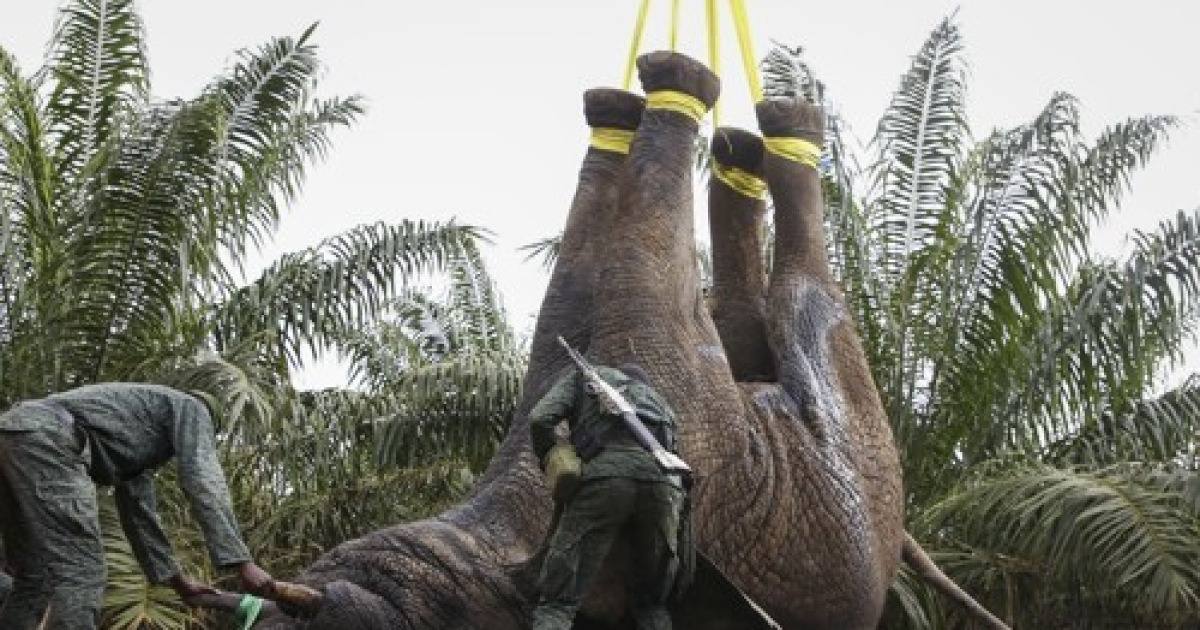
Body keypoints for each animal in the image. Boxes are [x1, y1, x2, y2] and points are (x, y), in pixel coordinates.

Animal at [241, 51, 1007, 630]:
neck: (488, 536)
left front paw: (674, 84)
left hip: (849, 439)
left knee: (803, 296)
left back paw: (767, 120)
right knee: (738, 304)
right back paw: (720, 141)